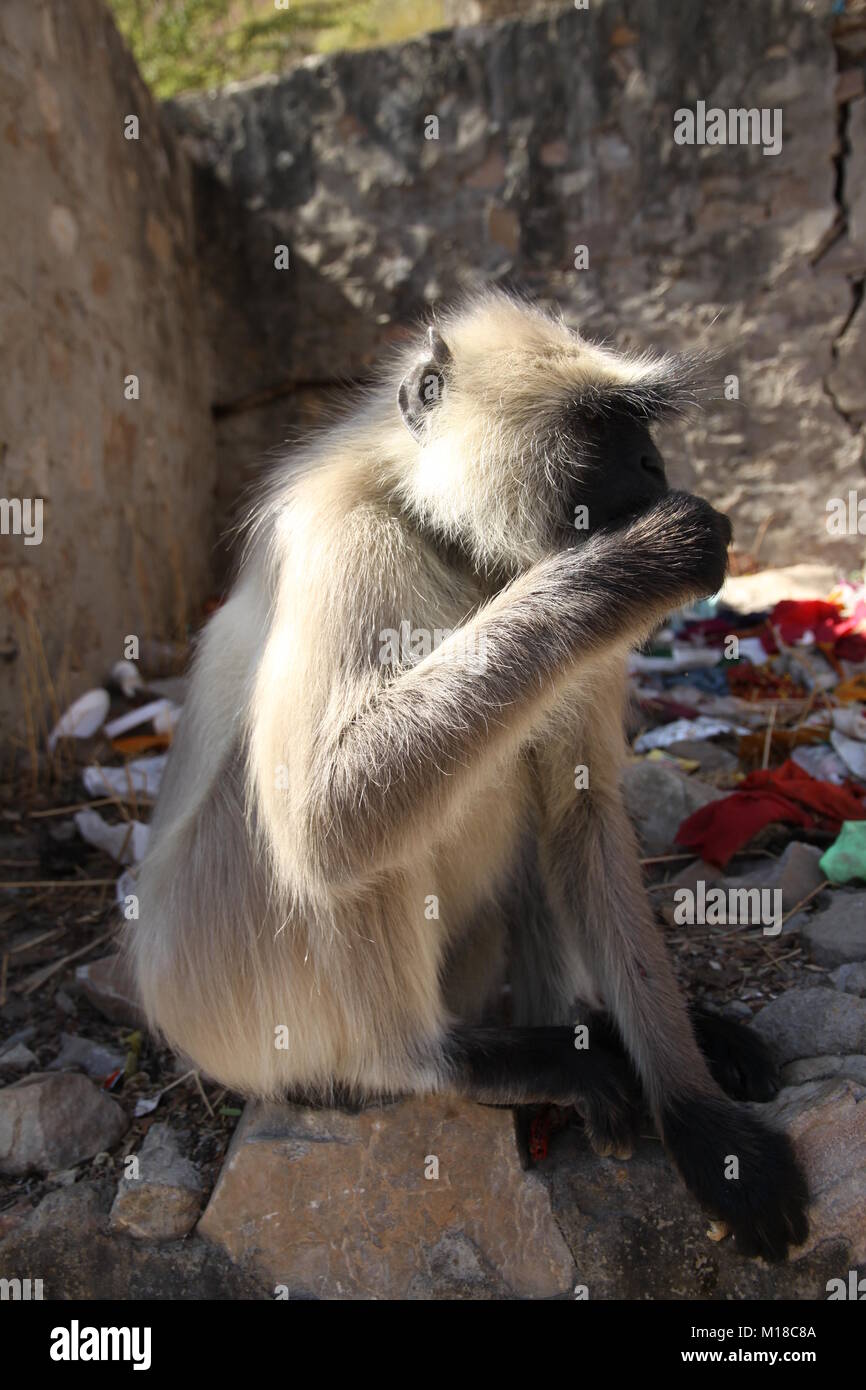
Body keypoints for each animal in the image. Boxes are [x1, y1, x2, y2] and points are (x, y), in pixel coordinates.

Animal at [128, 290, 808, 1264]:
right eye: (599, 425)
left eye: (639, 426)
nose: (652, 461)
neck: (448, 544)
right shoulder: (346, 541)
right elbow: (323, 815)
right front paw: (633, 563)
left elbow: (581, 813)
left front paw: (697, 1118)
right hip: (227, 993)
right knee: (328, 847)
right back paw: (452, 1063)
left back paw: (587, 1028)